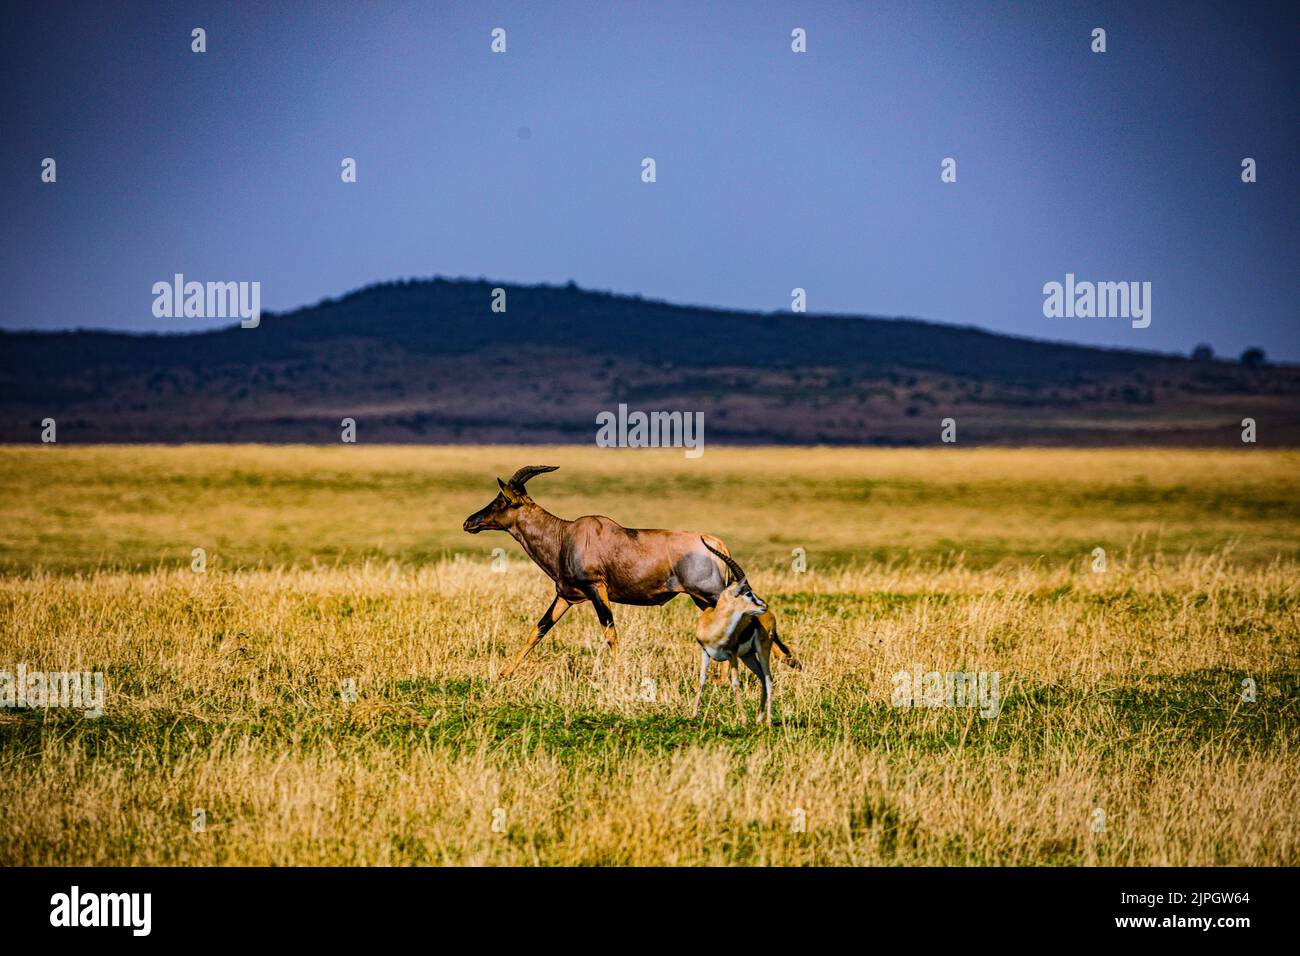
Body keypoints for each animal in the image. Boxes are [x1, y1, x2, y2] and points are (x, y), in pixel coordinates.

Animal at [462, 465, 799, 681]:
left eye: (503, 500)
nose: (469, 522)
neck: (566, 534)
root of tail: (717, 544)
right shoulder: (567, 596)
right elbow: (539, 629)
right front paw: (502, 674)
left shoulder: (597, 590)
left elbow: (610, 632)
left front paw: (621, 679)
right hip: (704, 598)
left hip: (710, 593)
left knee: (748, 616)